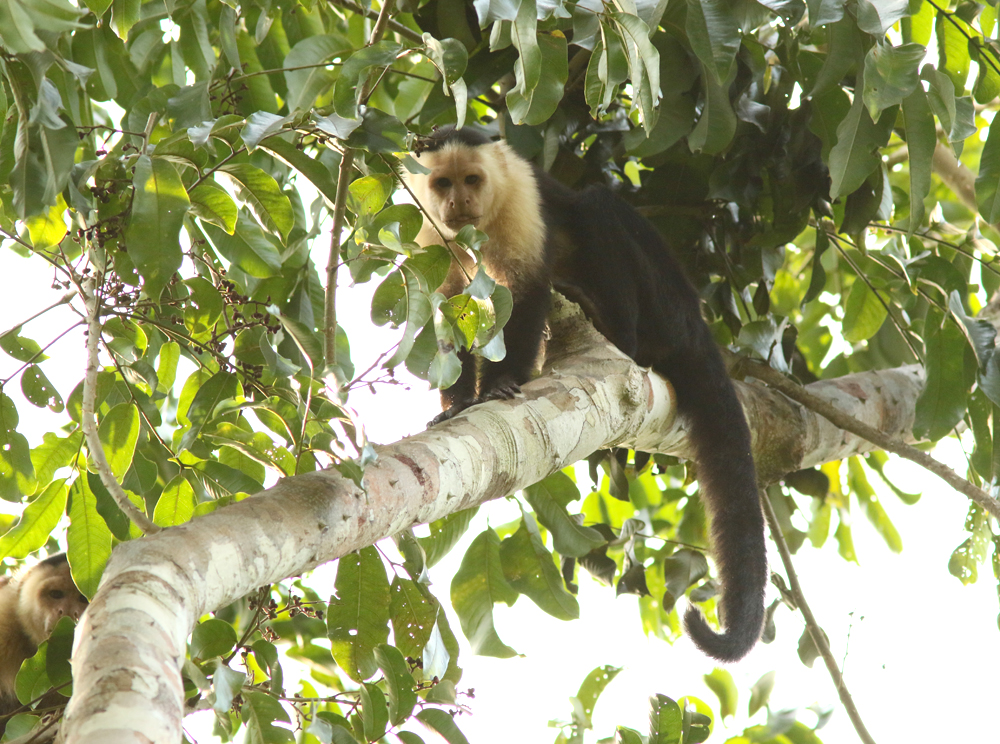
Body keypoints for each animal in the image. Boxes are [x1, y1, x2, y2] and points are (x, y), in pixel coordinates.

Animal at [405, 126, 767, 662]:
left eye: (472, 180)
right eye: (442, 183)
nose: (459, 202)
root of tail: (694, 318)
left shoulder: (520, 197)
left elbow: (525, 290)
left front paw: (501, 384)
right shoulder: (426, 226)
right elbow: (451, 308)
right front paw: (456, 405)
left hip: (665, 305)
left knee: (596, 207)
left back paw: (613, 327)